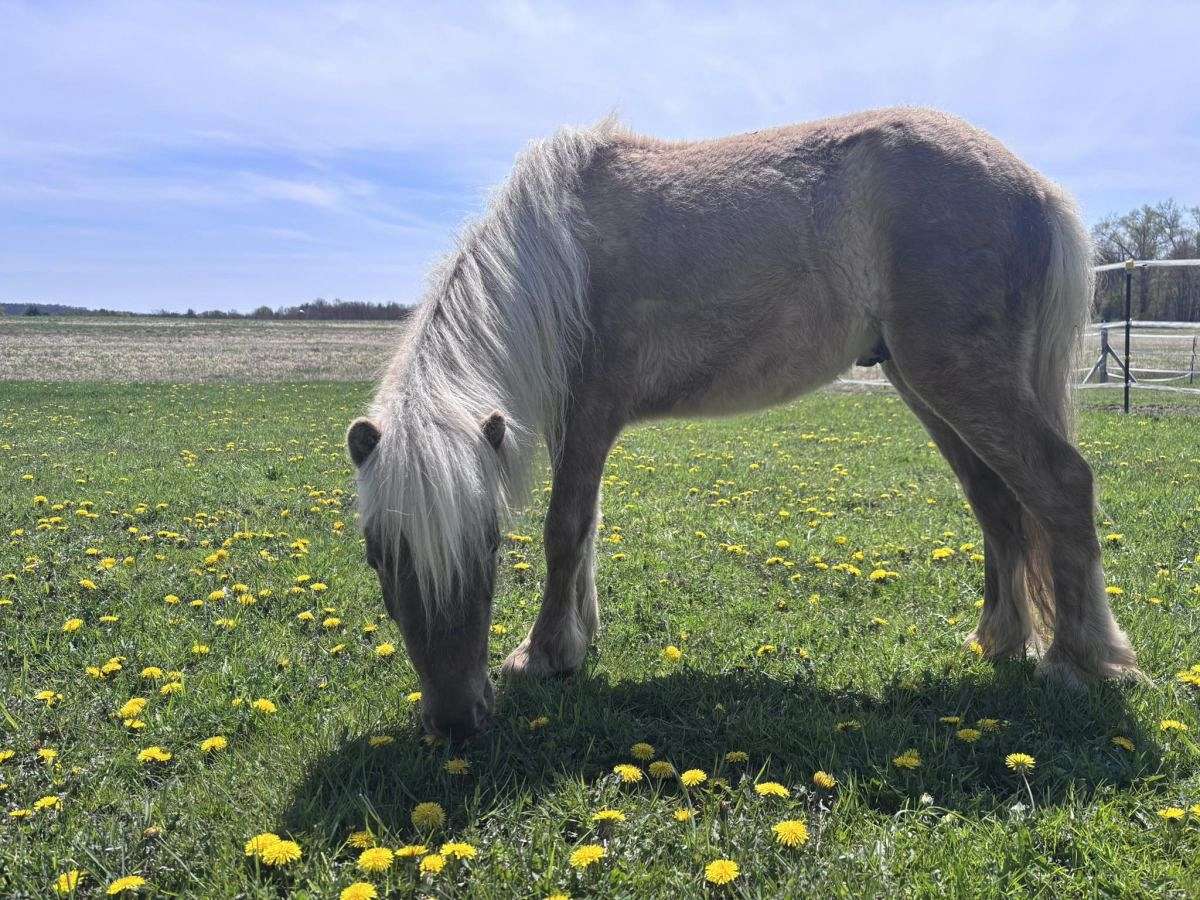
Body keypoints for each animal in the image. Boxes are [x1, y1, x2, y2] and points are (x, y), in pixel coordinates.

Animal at [347, 108, 1138, 740]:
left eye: (486, 543)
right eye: (377, 554)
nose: (454, 720)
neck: (560, 253)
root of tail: (1037, 188)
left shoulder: (591, 411)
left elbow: (564, 530)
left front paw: (542, 654)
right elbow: (587, 529)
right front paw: (578, 637)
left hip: (960, 379)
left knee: (1061, 486)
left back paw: (1080, 660)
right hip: (930, 388)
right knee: (999, 503)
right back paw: (999, 641)